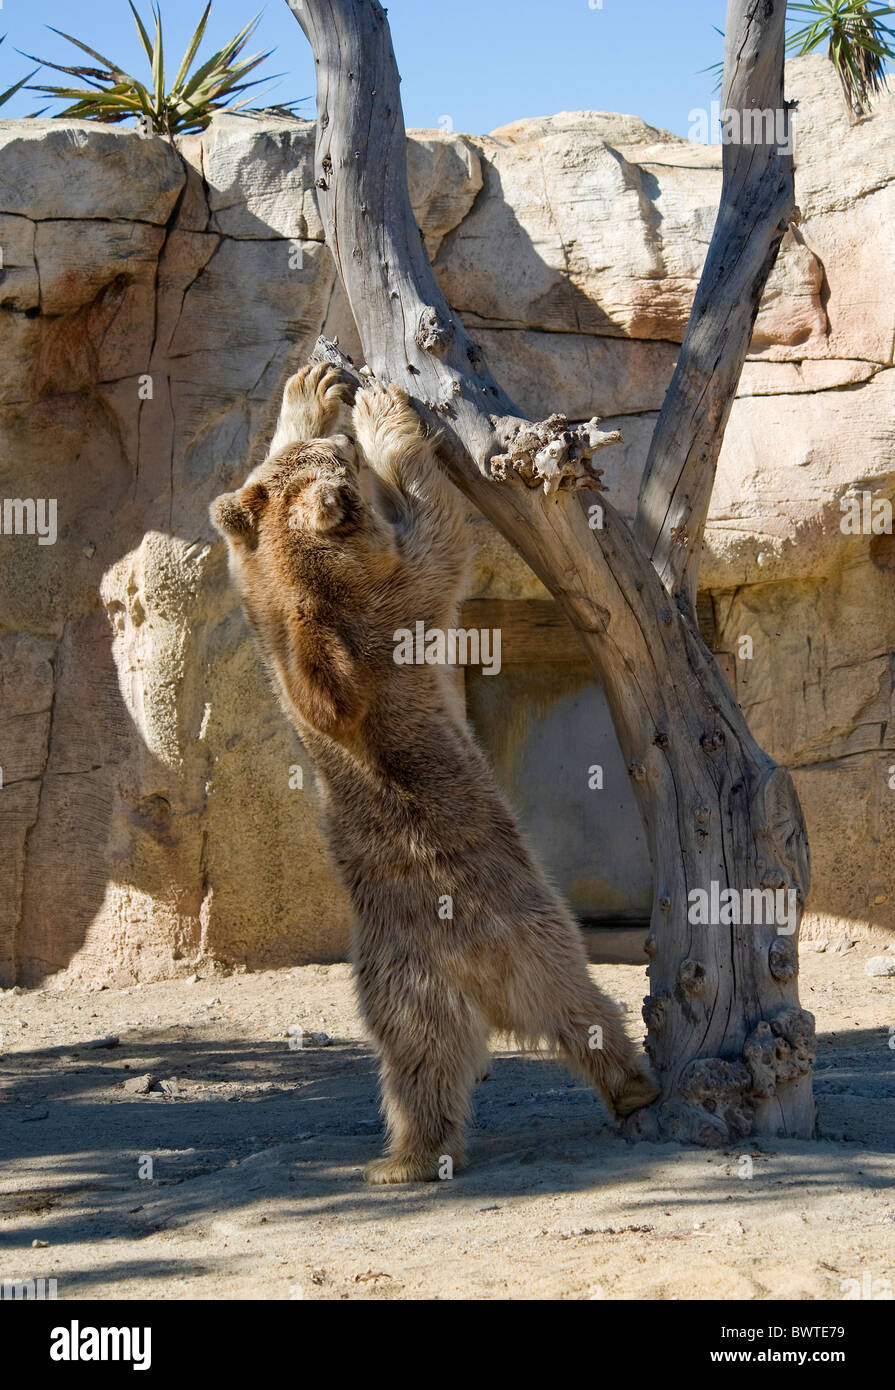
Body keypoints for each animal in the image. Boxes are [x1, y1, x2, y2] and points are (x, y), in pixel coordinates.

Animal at [211, 361, 658, 1183]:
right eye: (341, 459)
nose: (343, 436)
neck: (310, 599)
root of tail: (464, 967)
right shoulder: (389, 599)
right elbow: (436, 533)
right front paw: (385, 413)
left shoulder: (261, 600)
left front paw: (310, 390)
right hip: (529, 928)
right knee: (576, 1004)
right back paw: (631, 1082)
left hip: (393, 985)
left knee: (416, 1063)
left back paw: (405, 1158)